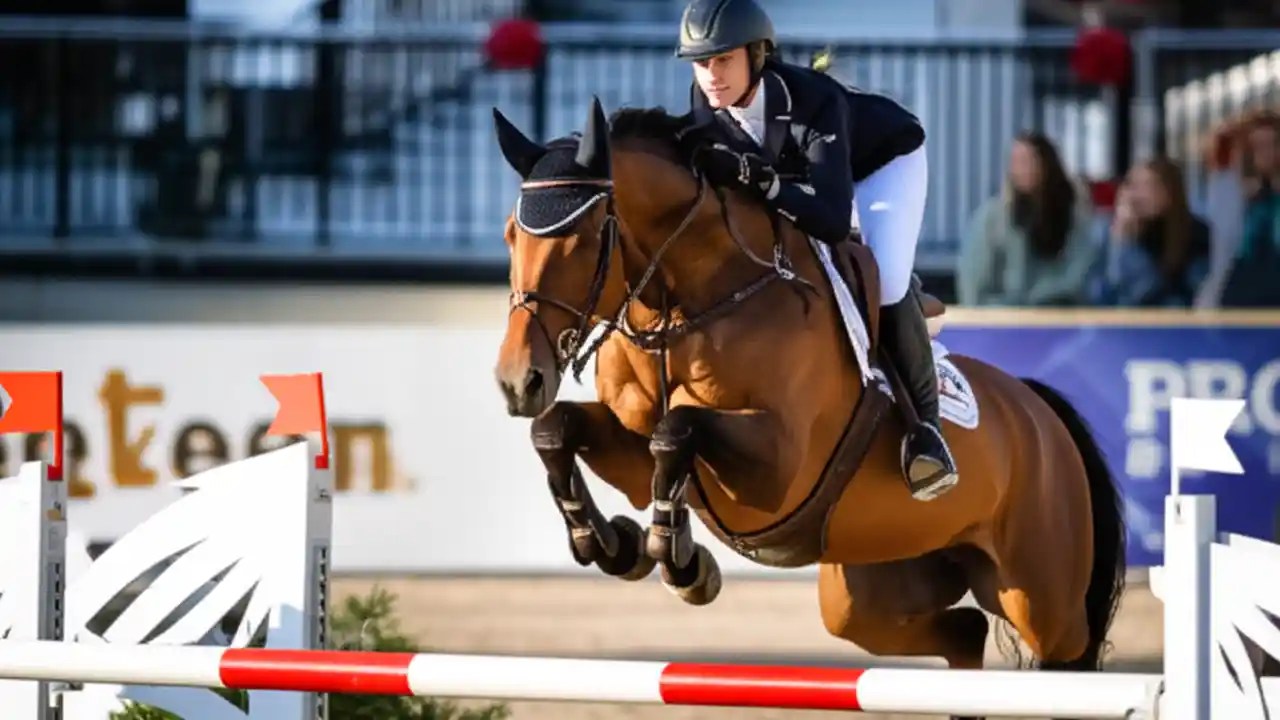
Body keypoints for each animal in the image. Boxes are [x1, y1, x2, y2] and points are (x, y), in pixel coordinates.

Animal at [490, 97, 1127, 719]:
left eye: (582, 238)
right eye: (509, 236)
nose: (519, 381)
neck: (690, 304)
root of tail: (1038, 409)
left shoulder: (775, 469)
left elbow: (676, 431)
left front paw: (680, 564)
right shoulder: (631, 449)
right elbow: (557, 430)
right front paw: (611, 543)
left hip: (1038, 597)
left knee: (1071, 654)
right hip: (868, 593)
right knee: (964, 631)